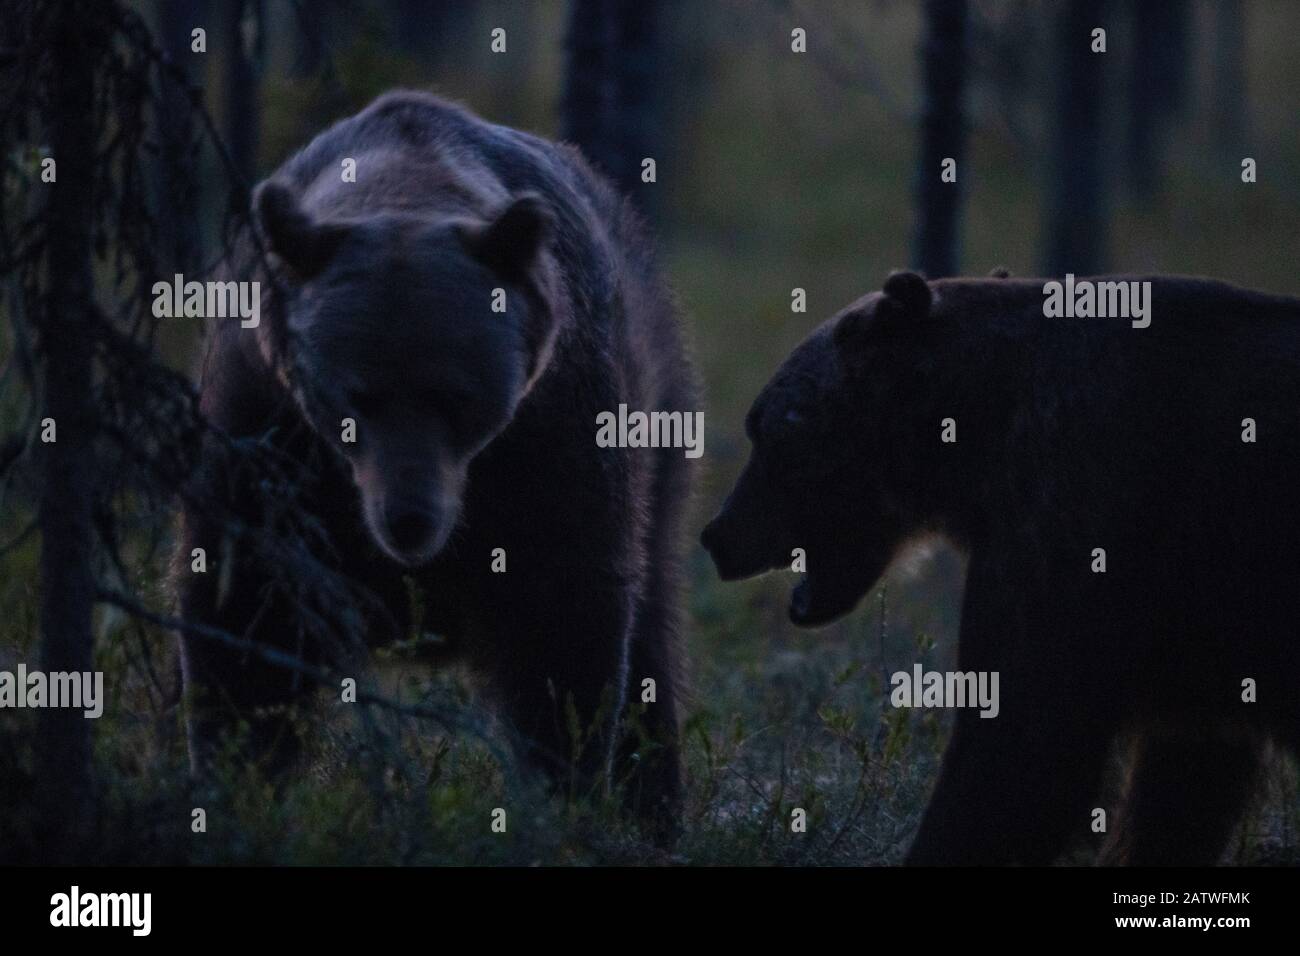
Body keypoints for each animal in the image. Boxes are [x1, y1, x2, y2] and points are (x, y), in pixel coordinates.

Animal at [175, 91, 695, 835]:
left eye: (456, 395)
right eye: (356, 396)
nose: (410, 520)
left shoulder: (552, 426)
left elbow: (564, 610)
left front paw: (566, 792)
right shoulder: (266, 424)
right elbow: (247, 604)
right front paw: (237, 780)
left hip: (659, 399)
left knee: (652, 623)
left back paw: (655, 810)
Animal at [701, 269, 1300, 865]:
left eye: (762, 428)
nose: (716, 535)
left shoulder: (1079, 516)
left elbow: (1016, 748)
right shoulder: (1195, 636)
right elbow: (1183, 783)